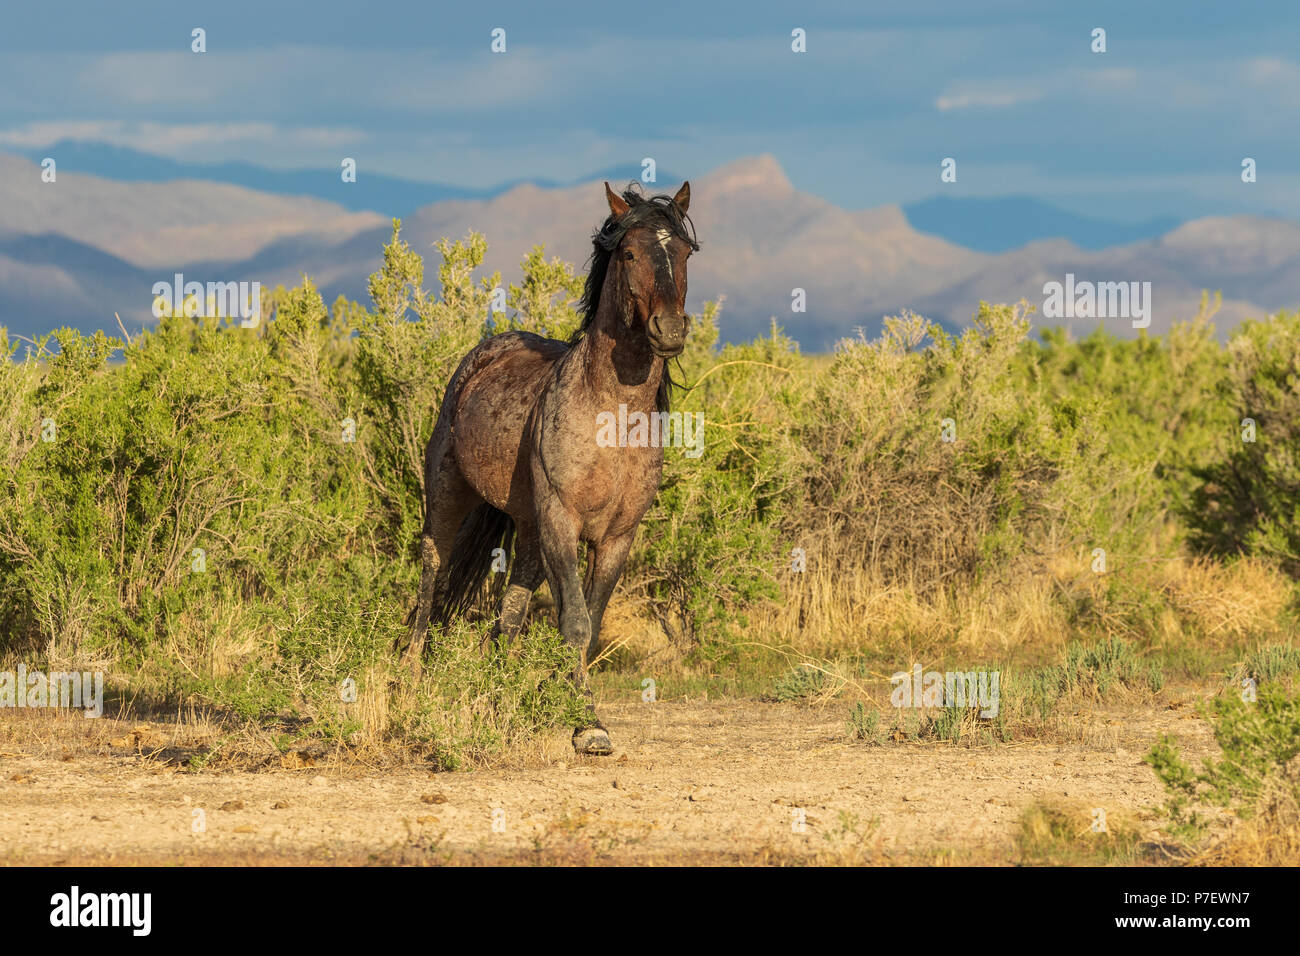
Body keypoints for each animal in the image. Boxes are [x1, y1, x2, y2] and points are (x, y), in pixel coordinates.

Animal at [399, 180, 699, 755]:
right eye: (629, 254)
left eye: (685, 252)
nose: (669, 329)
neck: (611, 417)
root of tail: (483, 353)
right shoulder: (562, 520)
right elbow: (575, 621)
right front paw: (586, 723)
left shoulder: (617, 537)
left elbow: (590, 623)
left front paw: (575, 709)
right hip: (449, 497)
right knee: (431, 573)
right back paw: (409, 674)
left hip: (530, 530)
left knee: (509, 614)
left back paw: (494, 699)